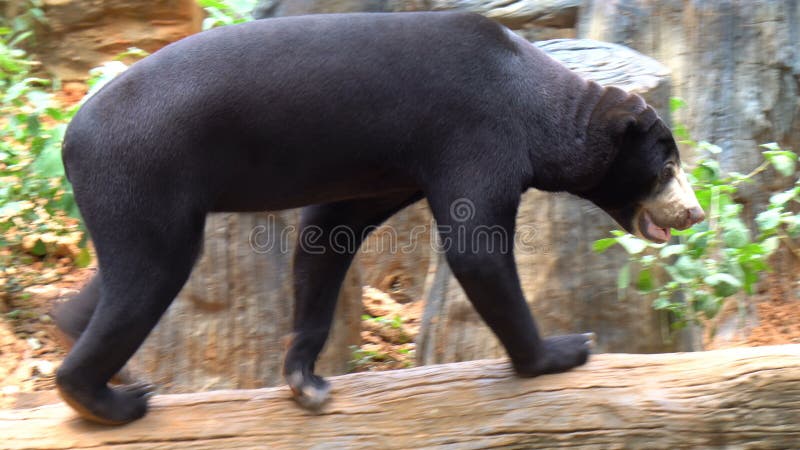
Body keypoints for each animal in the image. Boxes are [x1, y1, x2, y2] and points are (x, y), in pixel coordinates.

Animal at [53, 11, 704, 425]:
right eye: (667, 165)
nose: (695, 212)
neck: (536, 97)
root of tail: (69, 137)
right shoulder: (476, 135)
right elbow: (476, 249)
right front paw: (563, 351)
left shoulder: (390, 171)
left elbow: (328, 235)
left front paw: (306, 381)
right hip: (142, 174)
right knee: (148, 278)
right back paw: (106, 400)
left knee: (115, 282)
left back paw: (69, 324)